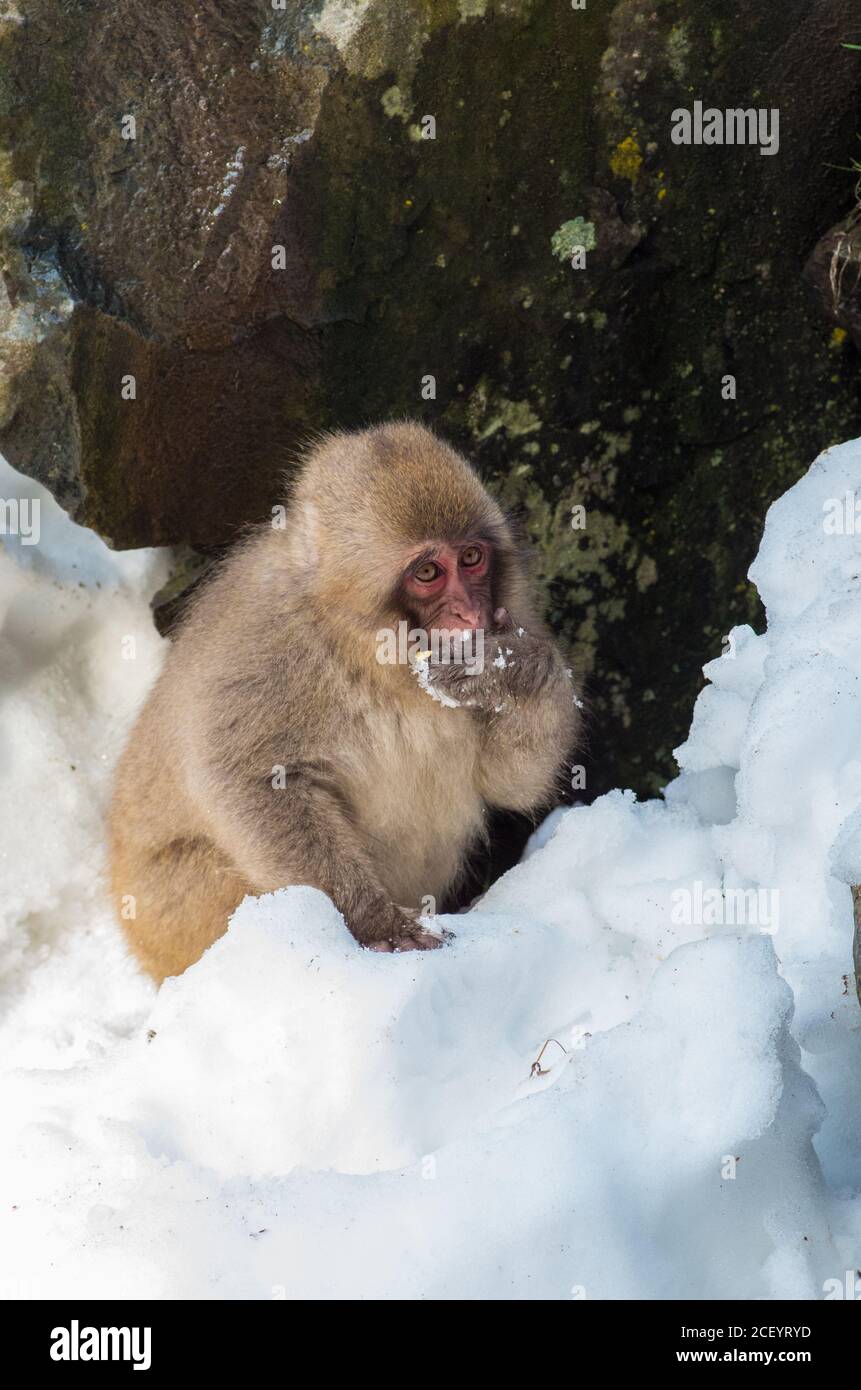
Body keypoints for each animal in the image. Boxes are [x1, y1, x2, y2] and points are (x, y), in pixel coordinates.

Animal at [109, 422, 581, 982]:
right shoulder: (269, 645)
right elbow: (249, 780)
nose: (471, 615)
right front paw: (376, 921)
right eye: (428, 572)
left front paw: (513, 668)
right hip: (171, 916)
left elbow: (507, 782)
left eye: (471, 558)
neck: (368, 653)